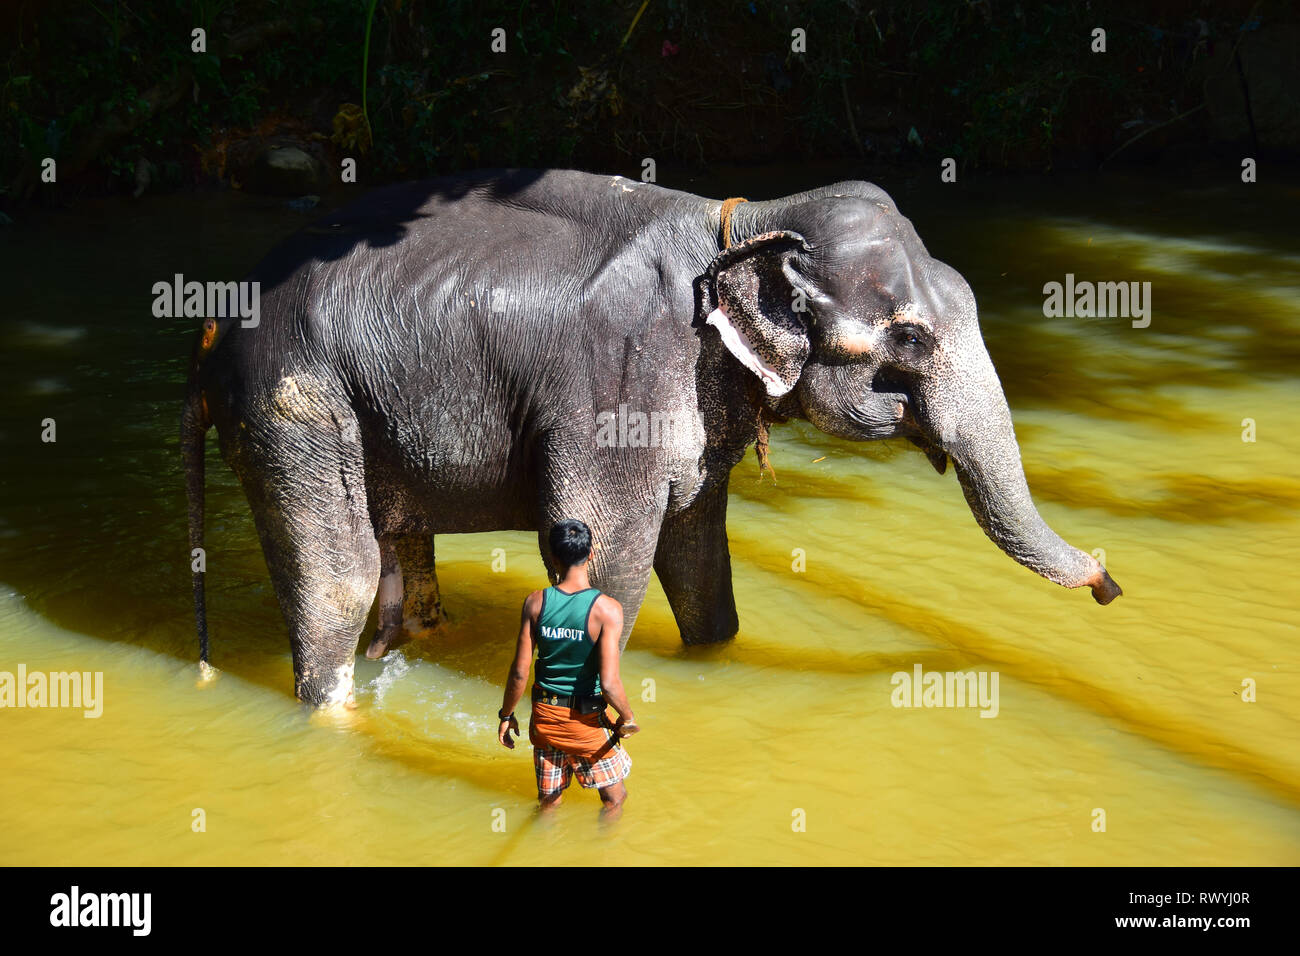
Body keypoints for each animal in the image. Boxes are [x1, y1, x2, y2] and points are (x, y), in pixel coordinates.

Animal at [181, 168, 1121, 707]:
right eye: (913, 338)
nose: (1111, 583)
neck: (745, 221)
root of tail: (212, 326)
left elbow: (699, 553)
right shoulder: (616, 385)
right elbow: (611, 560)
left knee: (399, 561)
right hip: (296, 408)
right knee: (335, 581)